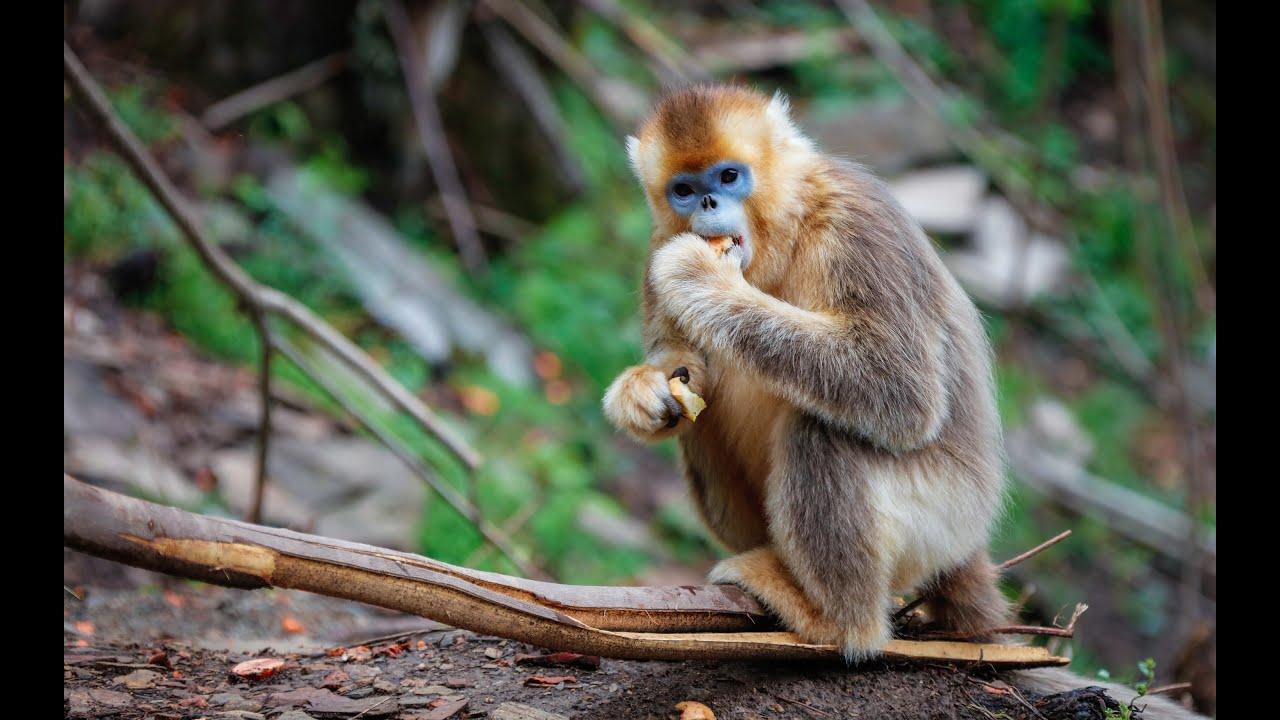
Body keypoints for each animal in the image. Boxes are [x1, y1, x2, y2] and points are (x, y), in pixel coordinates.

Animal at [601, 83, 1011, 662]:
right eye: (684, 189)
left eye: (728, 177)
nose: (706, 203)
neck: (784, 233)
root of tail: (967, 544)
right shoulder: (662, 238)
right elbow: (686, 367)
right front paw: (642, 395)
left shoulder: (855, 221)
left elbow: (902, 391)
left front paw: (701, 277)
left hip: (943, 519)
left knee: (821, 433)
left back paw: (840, 625)